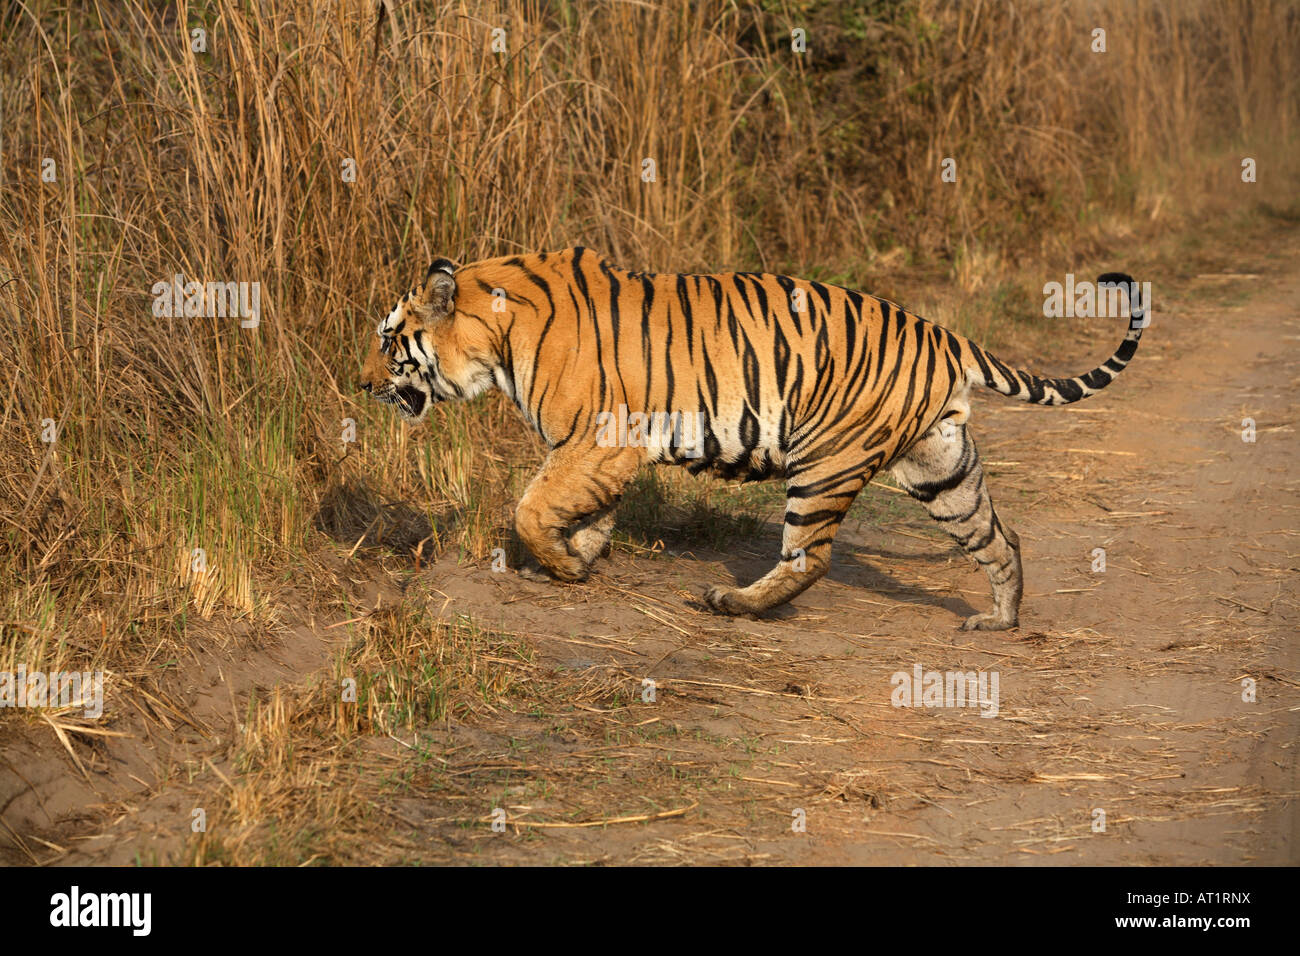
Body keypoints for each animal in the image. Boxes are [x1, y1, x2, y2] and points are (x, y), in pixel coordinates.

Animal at [361, 248, 1144, 629]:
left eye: (390, 341)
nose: (362, 384)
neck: (496, 340)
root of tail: (940, 333)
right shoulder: (601, 453)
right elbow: (584, 512)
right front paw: (576, 560)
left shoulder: (598, 440)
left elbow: (532, 507)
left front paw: (560, 565)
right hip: (940, 467)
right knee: (1000, 538)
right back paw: (1001, 621)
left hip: (826, 462)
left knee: (810, 558)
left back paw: (732, 605)